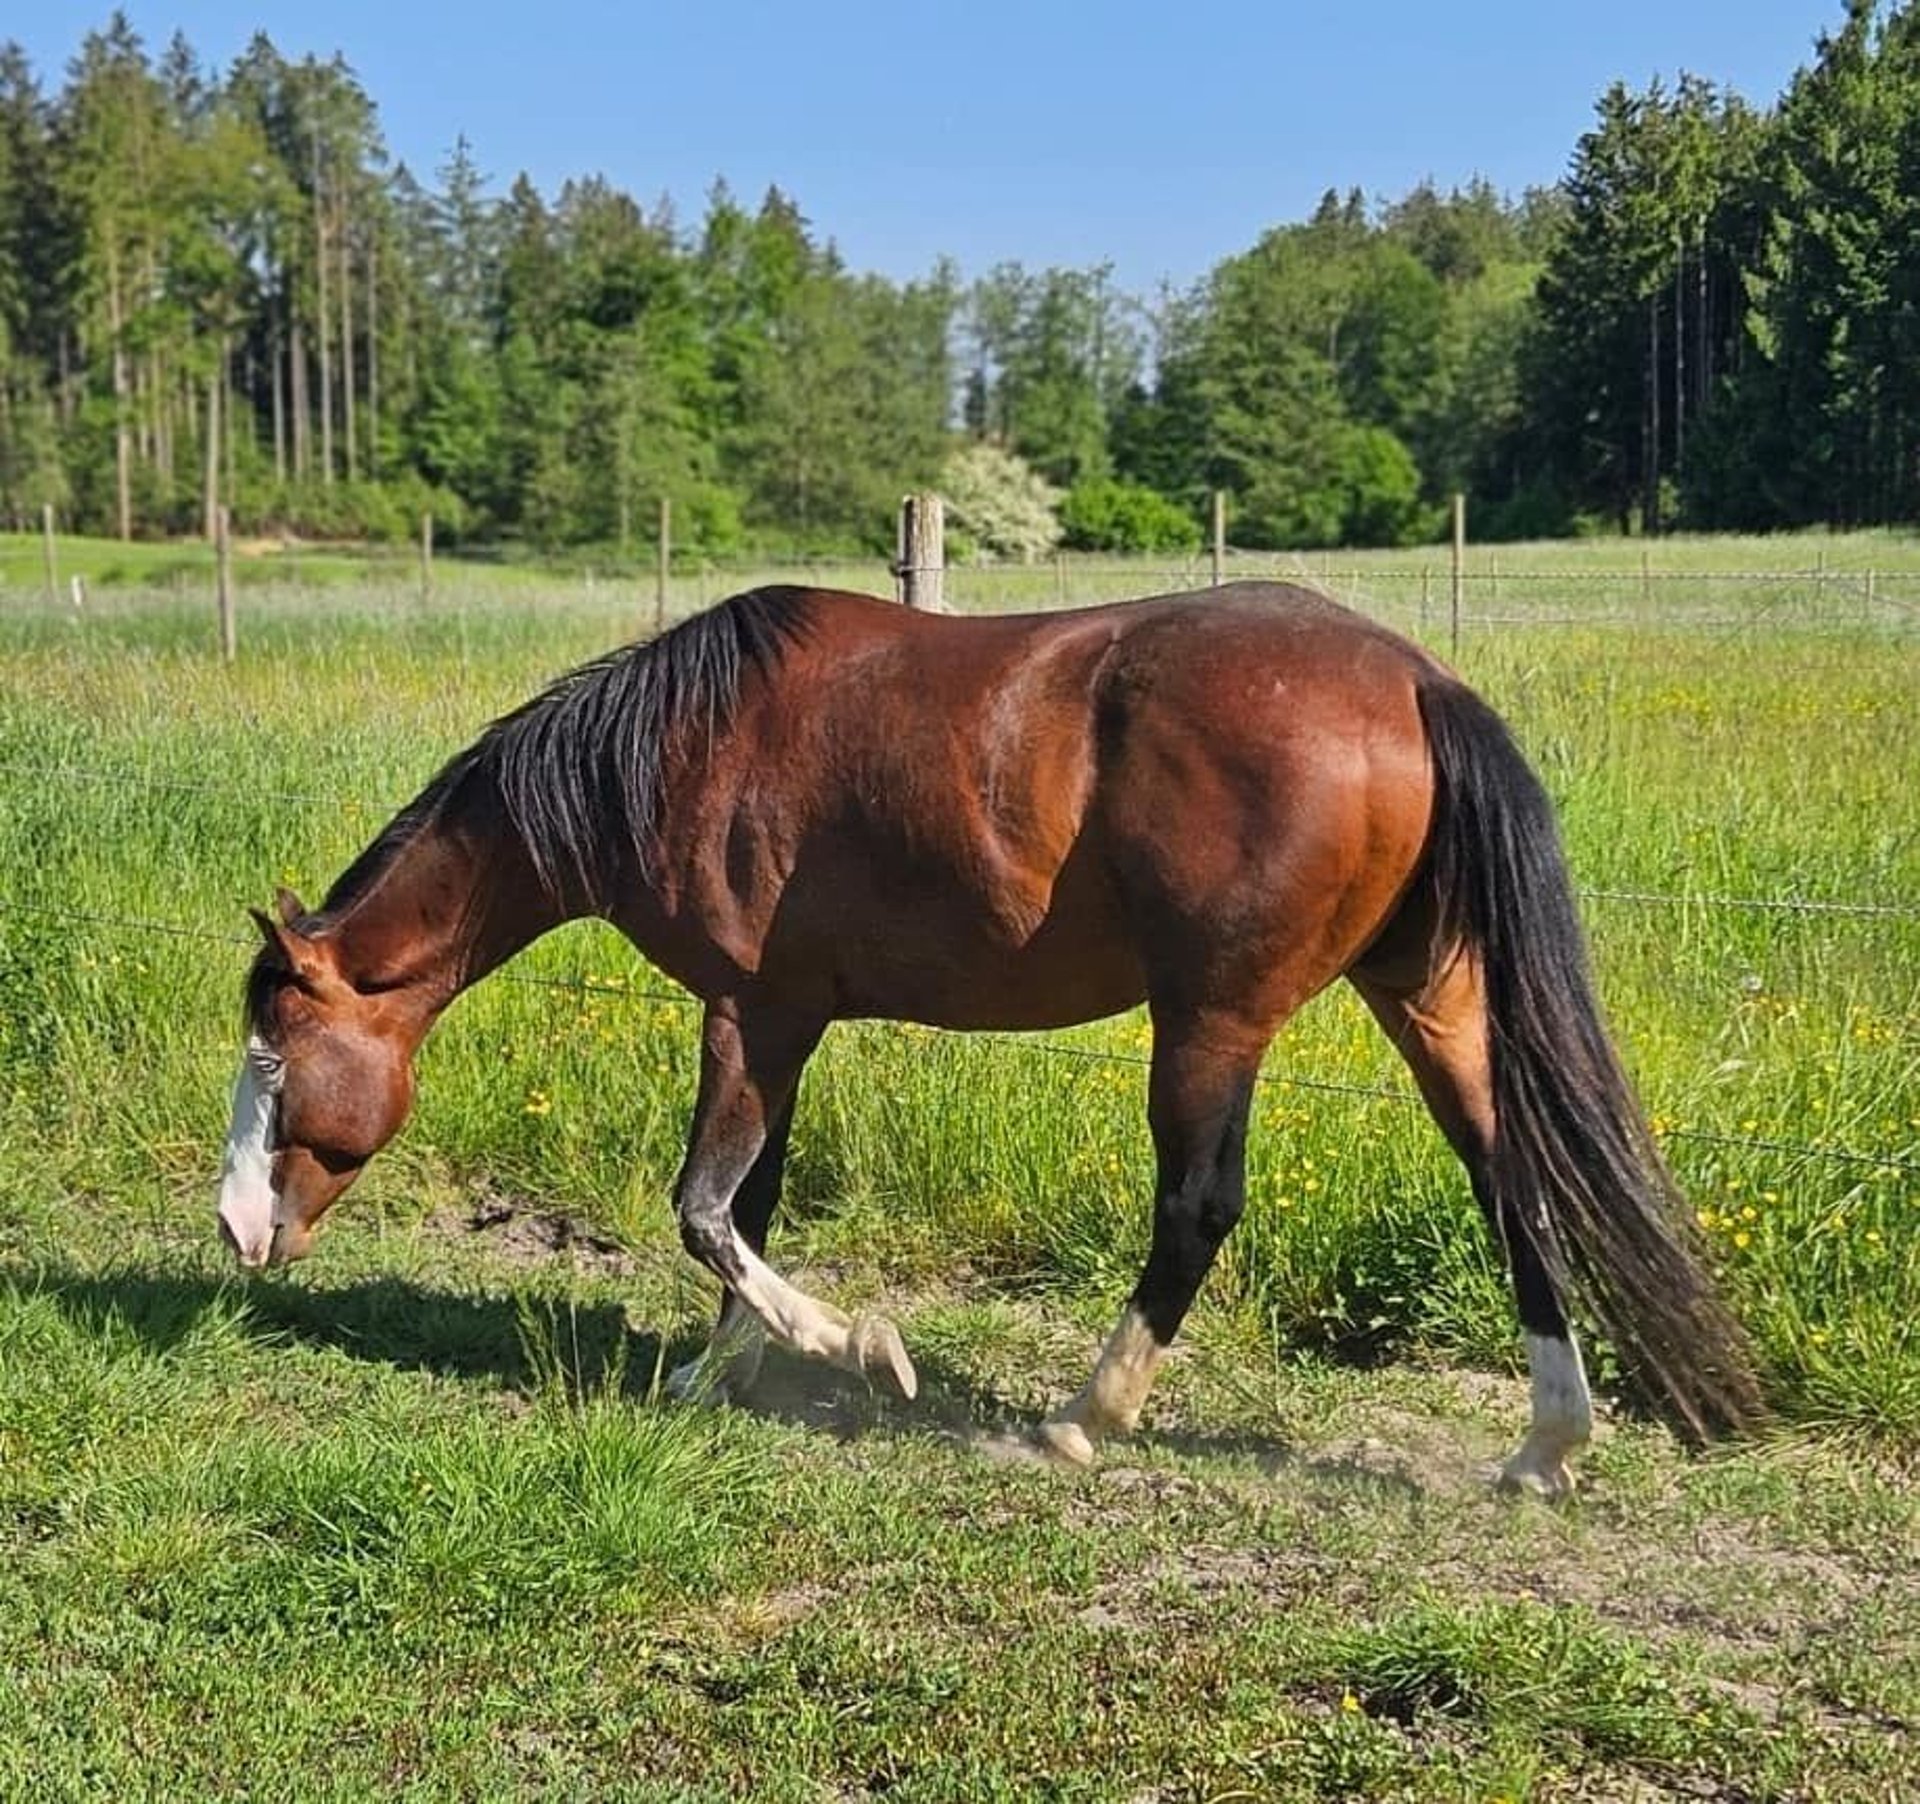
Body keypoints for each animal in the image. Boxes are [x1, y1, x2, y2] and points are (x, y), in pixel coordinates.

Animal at [217, 580, 1761, 1495]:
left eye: (275, 1054)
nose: (237, 1231)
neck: (672, 750)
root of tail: (1409, 682)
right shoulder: (782, 1023)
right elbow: (745, 1209)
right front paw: (720, 1374)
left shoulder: (749, 1012)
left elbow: (706, 1209)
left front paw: (857, 1350)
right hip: (1424, 996)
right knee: (1511, 1183)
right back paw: (1546, 1443)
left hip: (1213, 1021)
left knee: (1197, 1207)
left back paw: (1086, 1413)